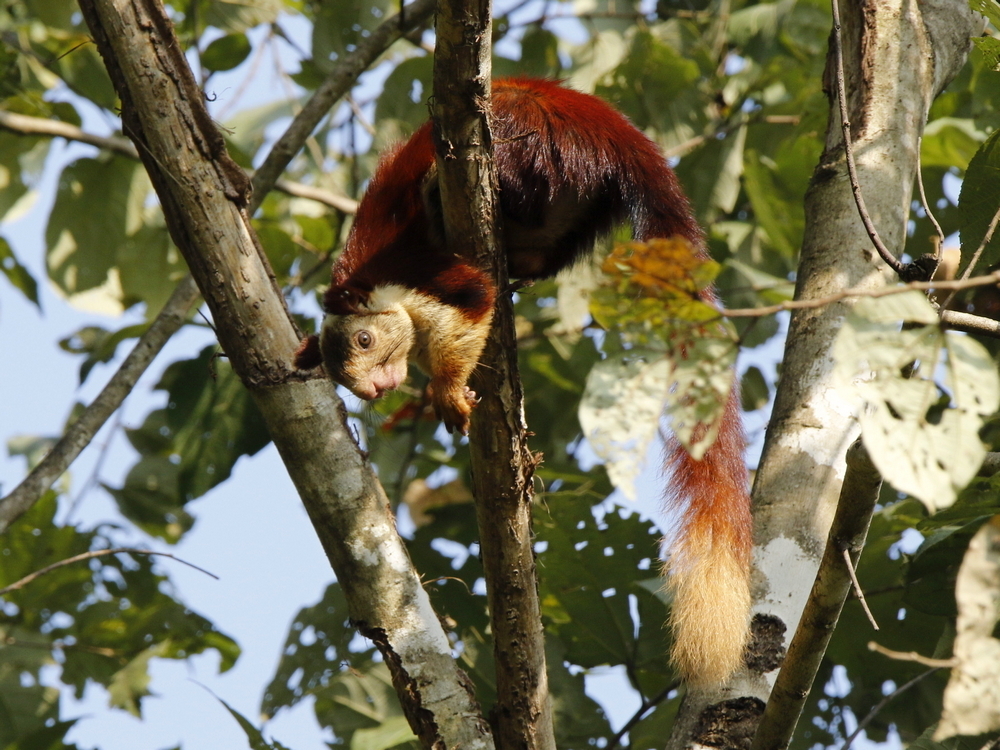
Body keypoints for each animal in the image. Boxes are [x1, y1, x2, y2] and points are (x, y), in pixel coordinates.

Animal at [295, 77, 751, 687]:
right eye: (342, 380)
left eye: (365, 342)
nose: (372, 392)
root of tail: (615, 132)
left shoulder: (423, 272)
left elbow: (475, 300)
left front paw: (448, 394)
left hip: (534, 147)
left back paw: (449, 192)